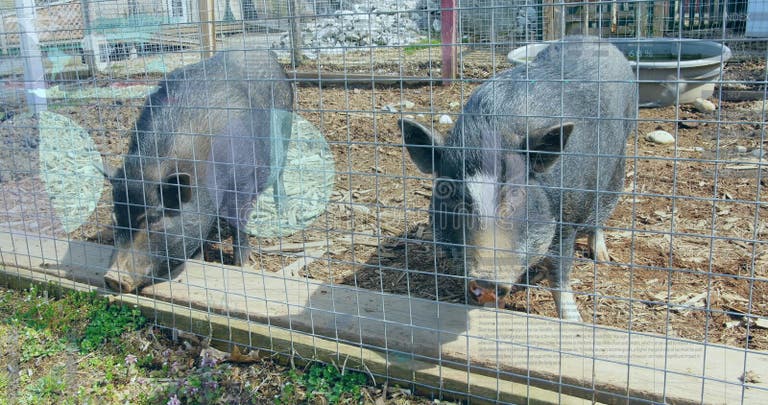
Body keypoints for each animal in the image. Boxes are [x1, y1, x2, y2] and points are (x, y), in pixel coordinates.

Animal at [104, 49, 293, 293]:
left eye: (153, 219)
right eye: (116, 216)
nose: (113, 277)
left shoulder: (244, 181)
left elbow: (239, 224)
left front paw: (240, 264)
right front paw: (198, 259)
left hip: (285, 126)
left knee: (280, 171)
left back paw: (284, 210)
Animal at [400, 36, 636, 321]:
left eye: (515, 194)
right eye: (453, 196)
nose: (487, 279)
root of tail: (598, 40)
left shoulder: (565, 223)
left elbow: (560, 278)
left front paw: (574, 321)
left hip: (618, 163)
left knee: (601, 215)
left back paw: (602, 258)